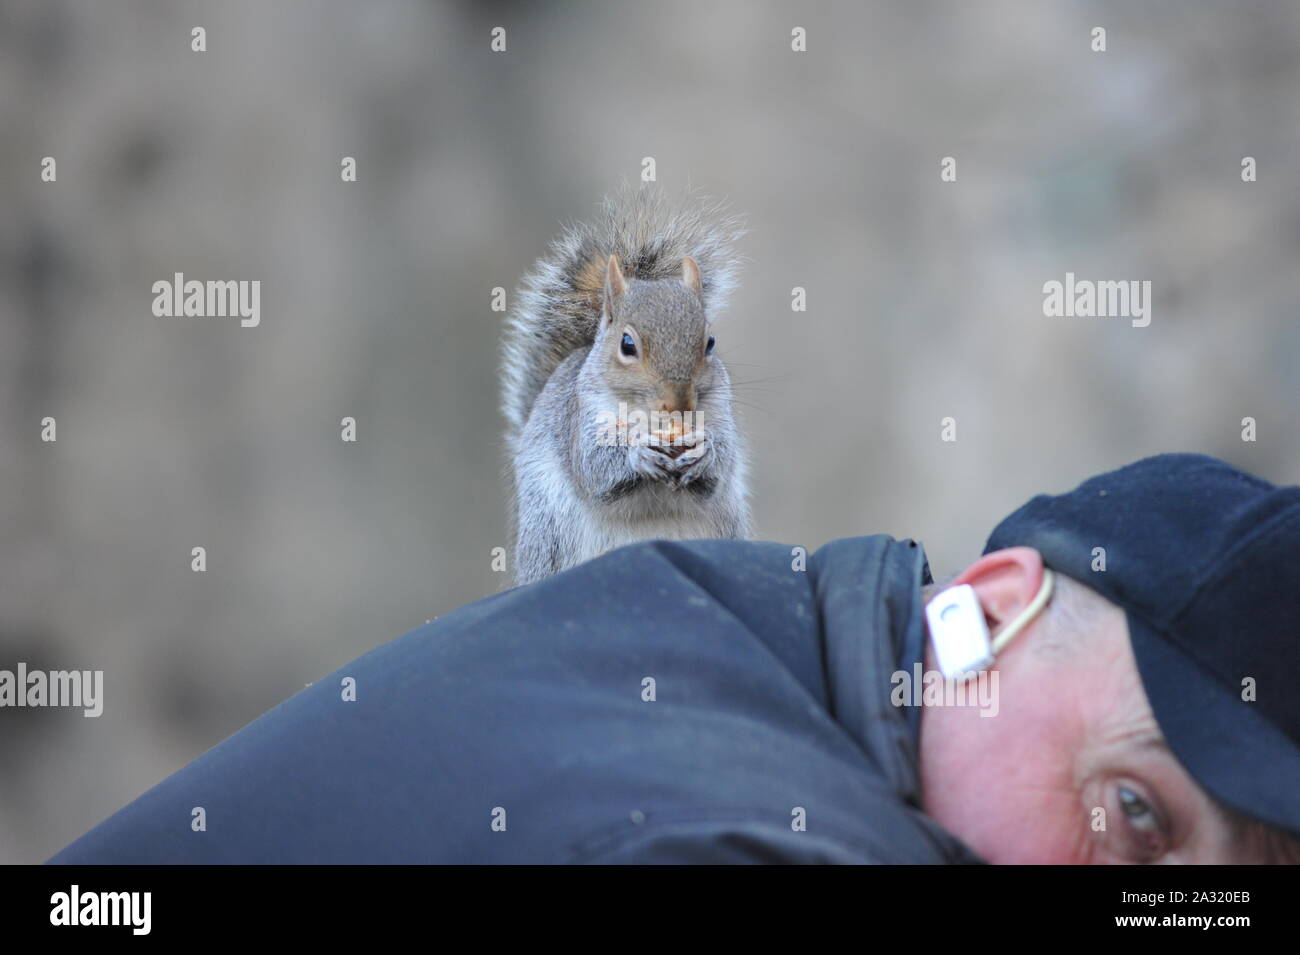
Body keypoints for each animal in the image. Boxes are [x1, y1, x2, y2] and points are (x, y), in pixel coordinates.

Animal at [501, 185, 752, 585]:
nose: (680, 404)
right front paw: (639, 453)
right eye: (627, 344)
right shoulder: (583, 416)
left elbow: (720, 465)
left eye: (710, 342)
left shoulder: (718, 413)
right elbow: (594, 465)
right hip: (547, 529)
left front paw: (706, 452)